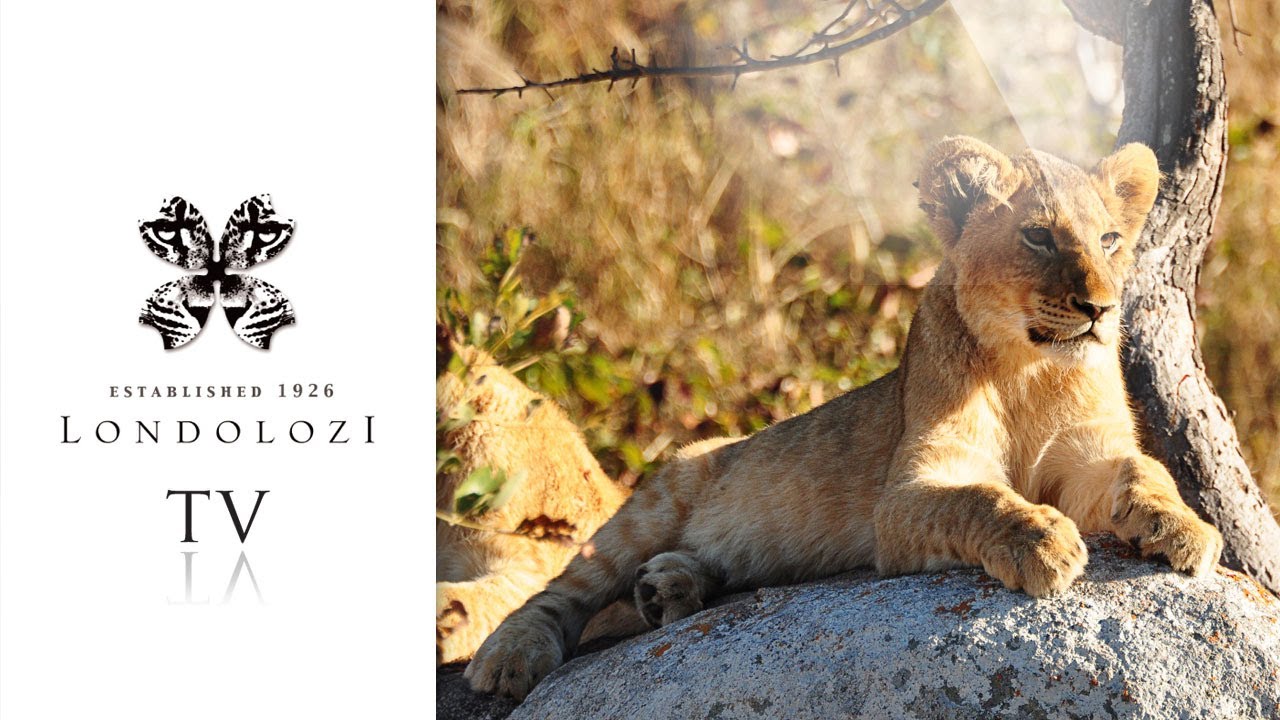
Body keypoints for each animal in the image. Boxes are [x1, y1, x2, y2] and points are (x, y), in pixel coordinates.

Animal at [463, 137, 1225, 699]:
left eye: (1110, 239)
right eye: (1037, 236)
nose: (1099, 307)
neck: (1030, 370)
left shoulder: (1089, 456)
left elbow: (1145, 470)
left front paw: (1186, 529)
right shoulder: (911, 489)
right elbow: (983, 499)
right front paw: (1041, 541)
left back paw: (668, 588)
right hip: (657, 496)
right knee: (566, 586)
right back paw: (509, 656)